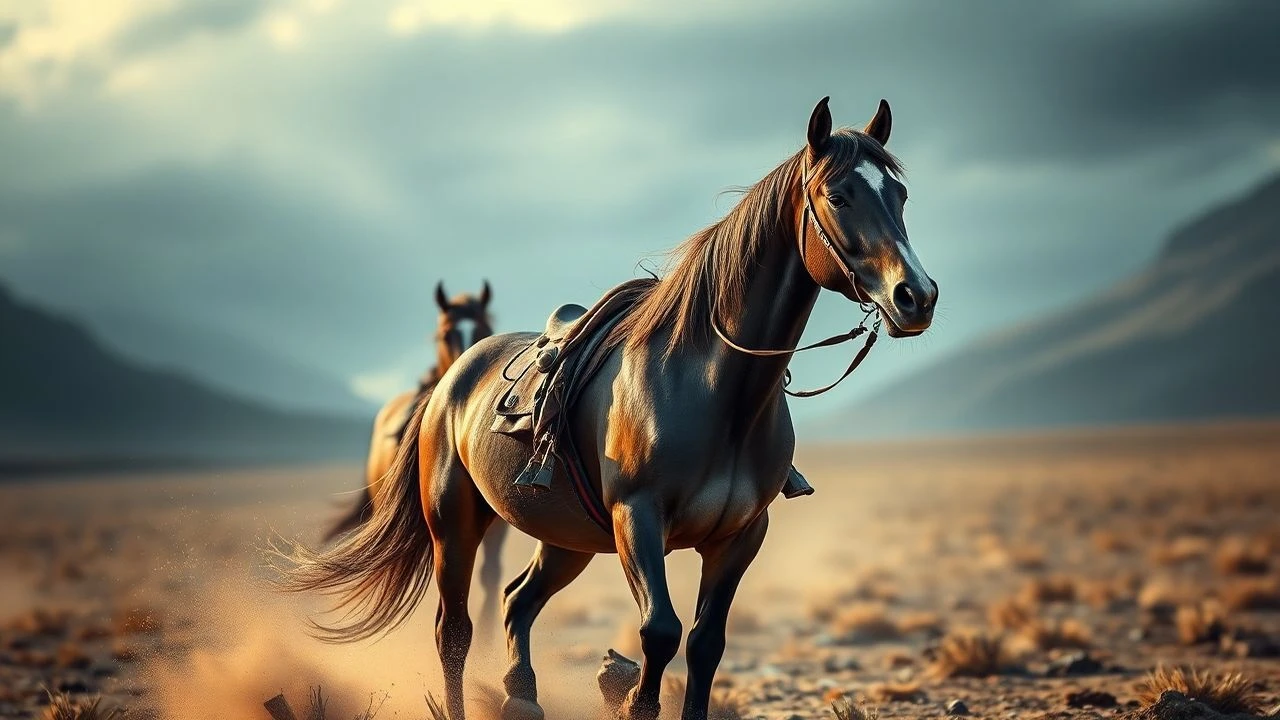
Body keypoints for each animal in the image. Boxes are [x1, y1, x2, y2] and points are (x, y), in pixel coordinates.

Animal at [278, 97, 937, 720]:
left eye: (900, 193)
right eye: (838, 195)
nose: (917, 296)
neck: (715, 390)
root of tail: (450, 383)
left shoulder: (742, 535)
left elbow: (706, 644)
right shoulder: (636, 518)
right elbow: (660, 633)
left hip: (563, 539)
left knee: (517, 600)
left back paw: (522, 695)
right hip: (455, 525)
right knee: (455, 632)